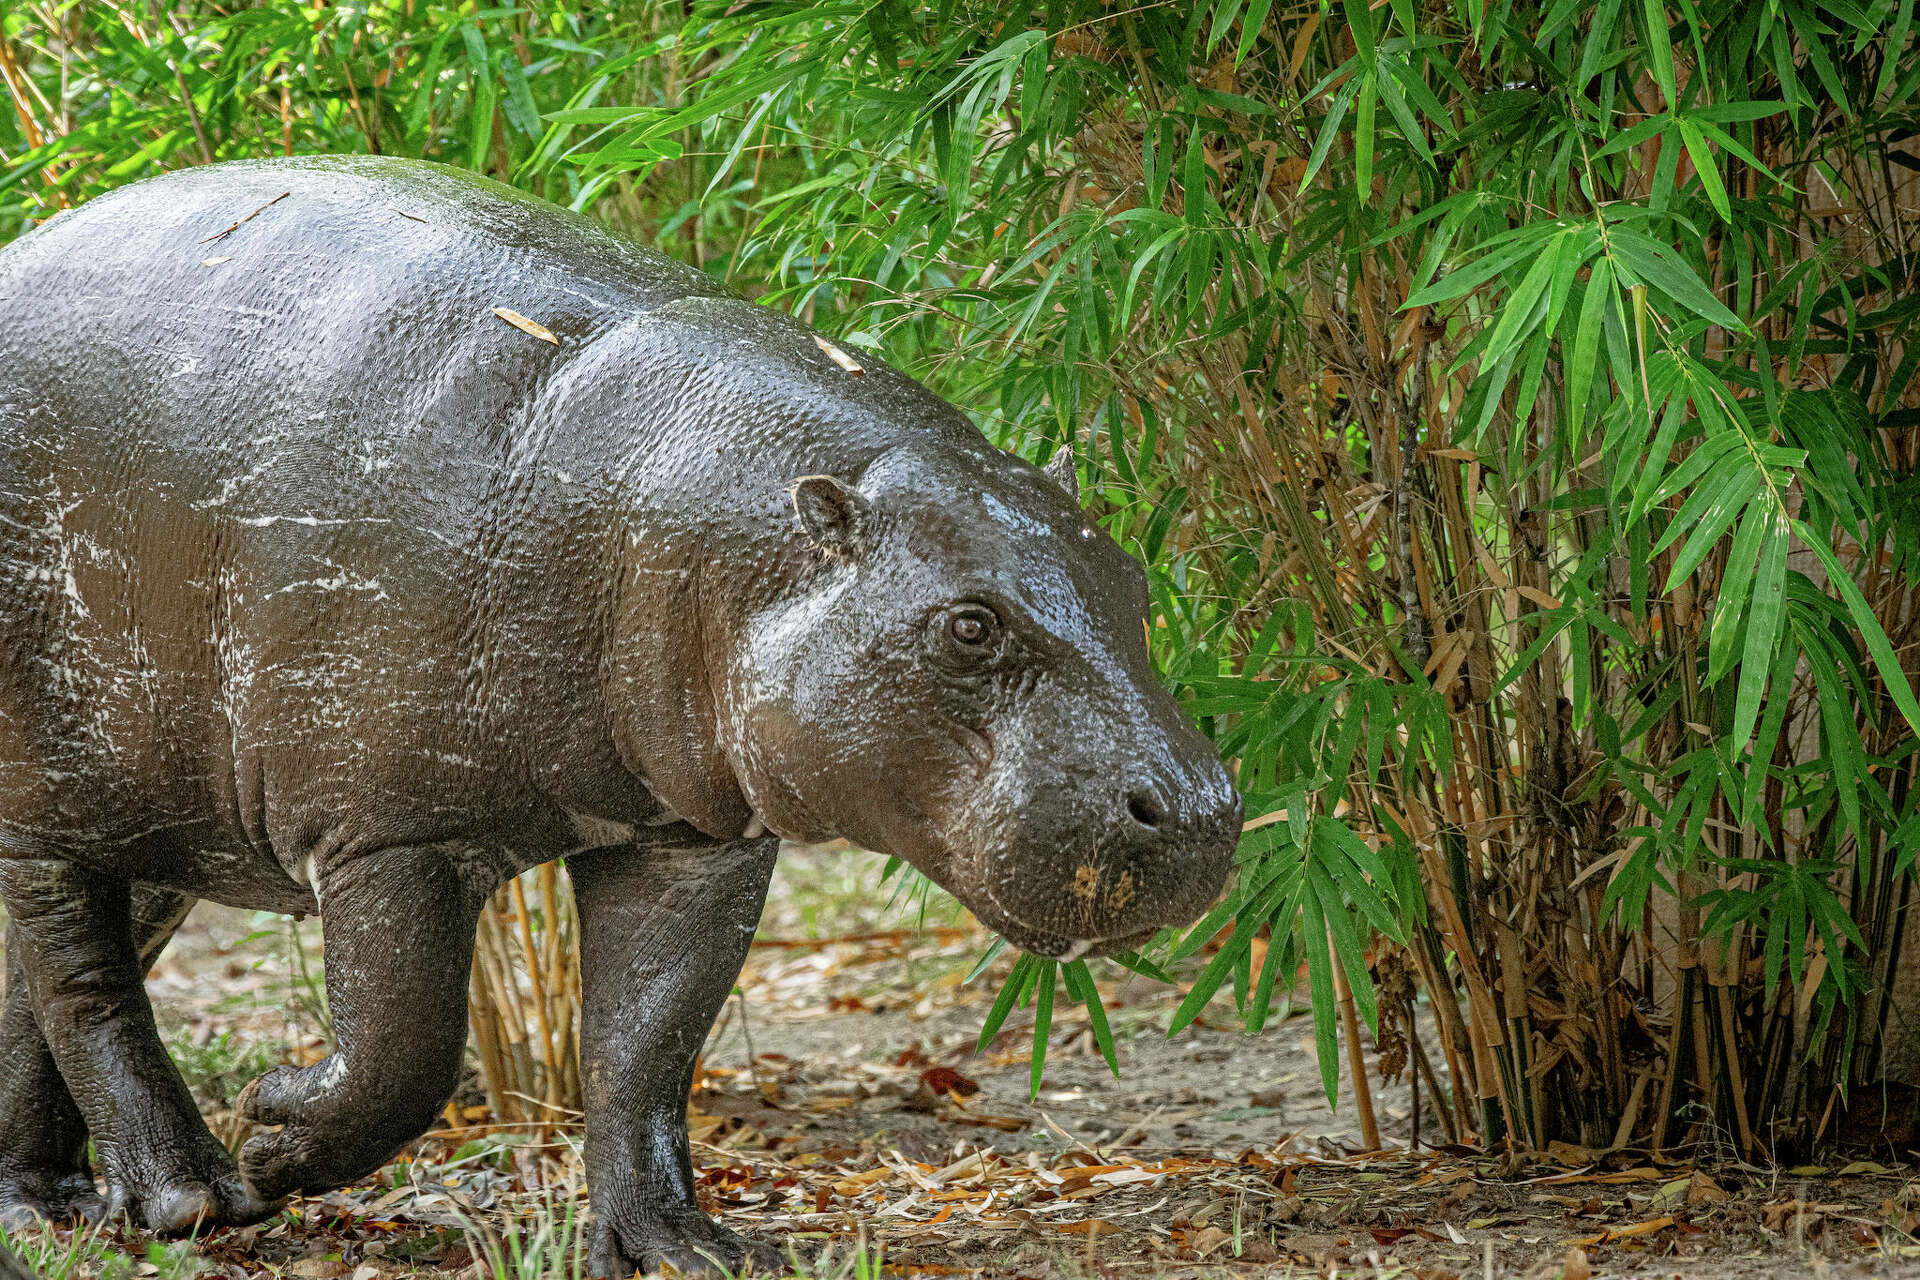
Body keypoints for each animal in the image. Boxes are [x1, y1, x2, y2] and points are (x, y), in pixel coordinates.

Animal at [0, 156, 1239, 1275]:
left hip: (161, 814)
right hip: (52, 786)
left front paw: (686, 1249)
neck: (723, 542)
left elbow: (648, 1041)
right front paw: (271, 1124)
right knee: (82, 977)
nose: (1195, 808)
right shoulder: (386, 833)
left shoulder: (694, 838)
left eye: (1134, 577)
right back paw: (192, 1196)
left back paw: (46, 1204)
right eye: (970, 625)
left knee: (43, 978)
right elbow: (409, 1051)